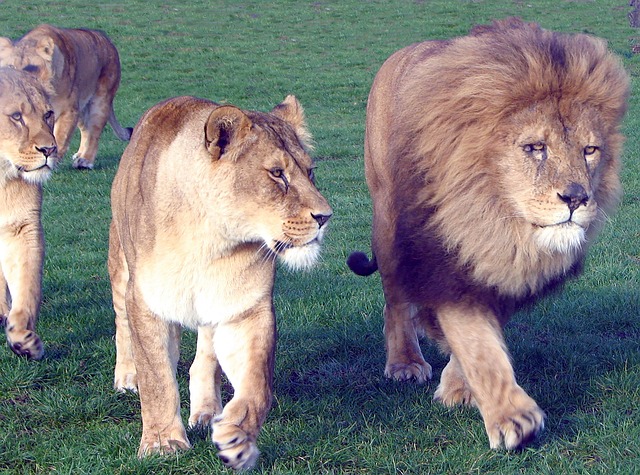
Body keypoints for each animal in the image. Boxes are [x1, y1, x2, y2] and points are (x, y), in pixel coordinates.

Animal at [0, 24, 131, 170]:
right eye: (10, 67)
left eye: (31, 67)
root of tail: (108, 41)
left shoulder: (68, 110)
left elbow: (59, 138)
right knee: (86, 130)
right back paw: (79, 154)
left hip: (100, 101)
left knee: (94, 132)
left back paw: (85, 160)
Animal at [108, 95, 332, 469]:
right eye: (277, 173)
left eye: (310, 171)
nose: (325, 216)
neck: (211, 241)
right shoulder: (147, 301)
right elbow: (156, 377)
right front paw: (162, 444)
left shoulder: (246, 309)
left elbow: (257, 385)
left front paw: (237, 438)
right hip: (120, 266)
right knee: (122, 324)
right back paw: (127, 376)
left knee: (205, 355)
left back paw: (207, 412)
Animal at [347, 18, 629, 450]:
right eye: (535, 147)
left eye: (590, 150)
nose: (577, 198)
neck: (498, 221)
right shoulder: (443, 258)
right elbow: (476, 342)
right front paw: (513, 417)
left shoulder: (505, 269)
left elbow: (478, 336)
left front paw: (458, 386)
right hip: (388, 219)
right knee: (395, 298)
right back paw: (405, 362)